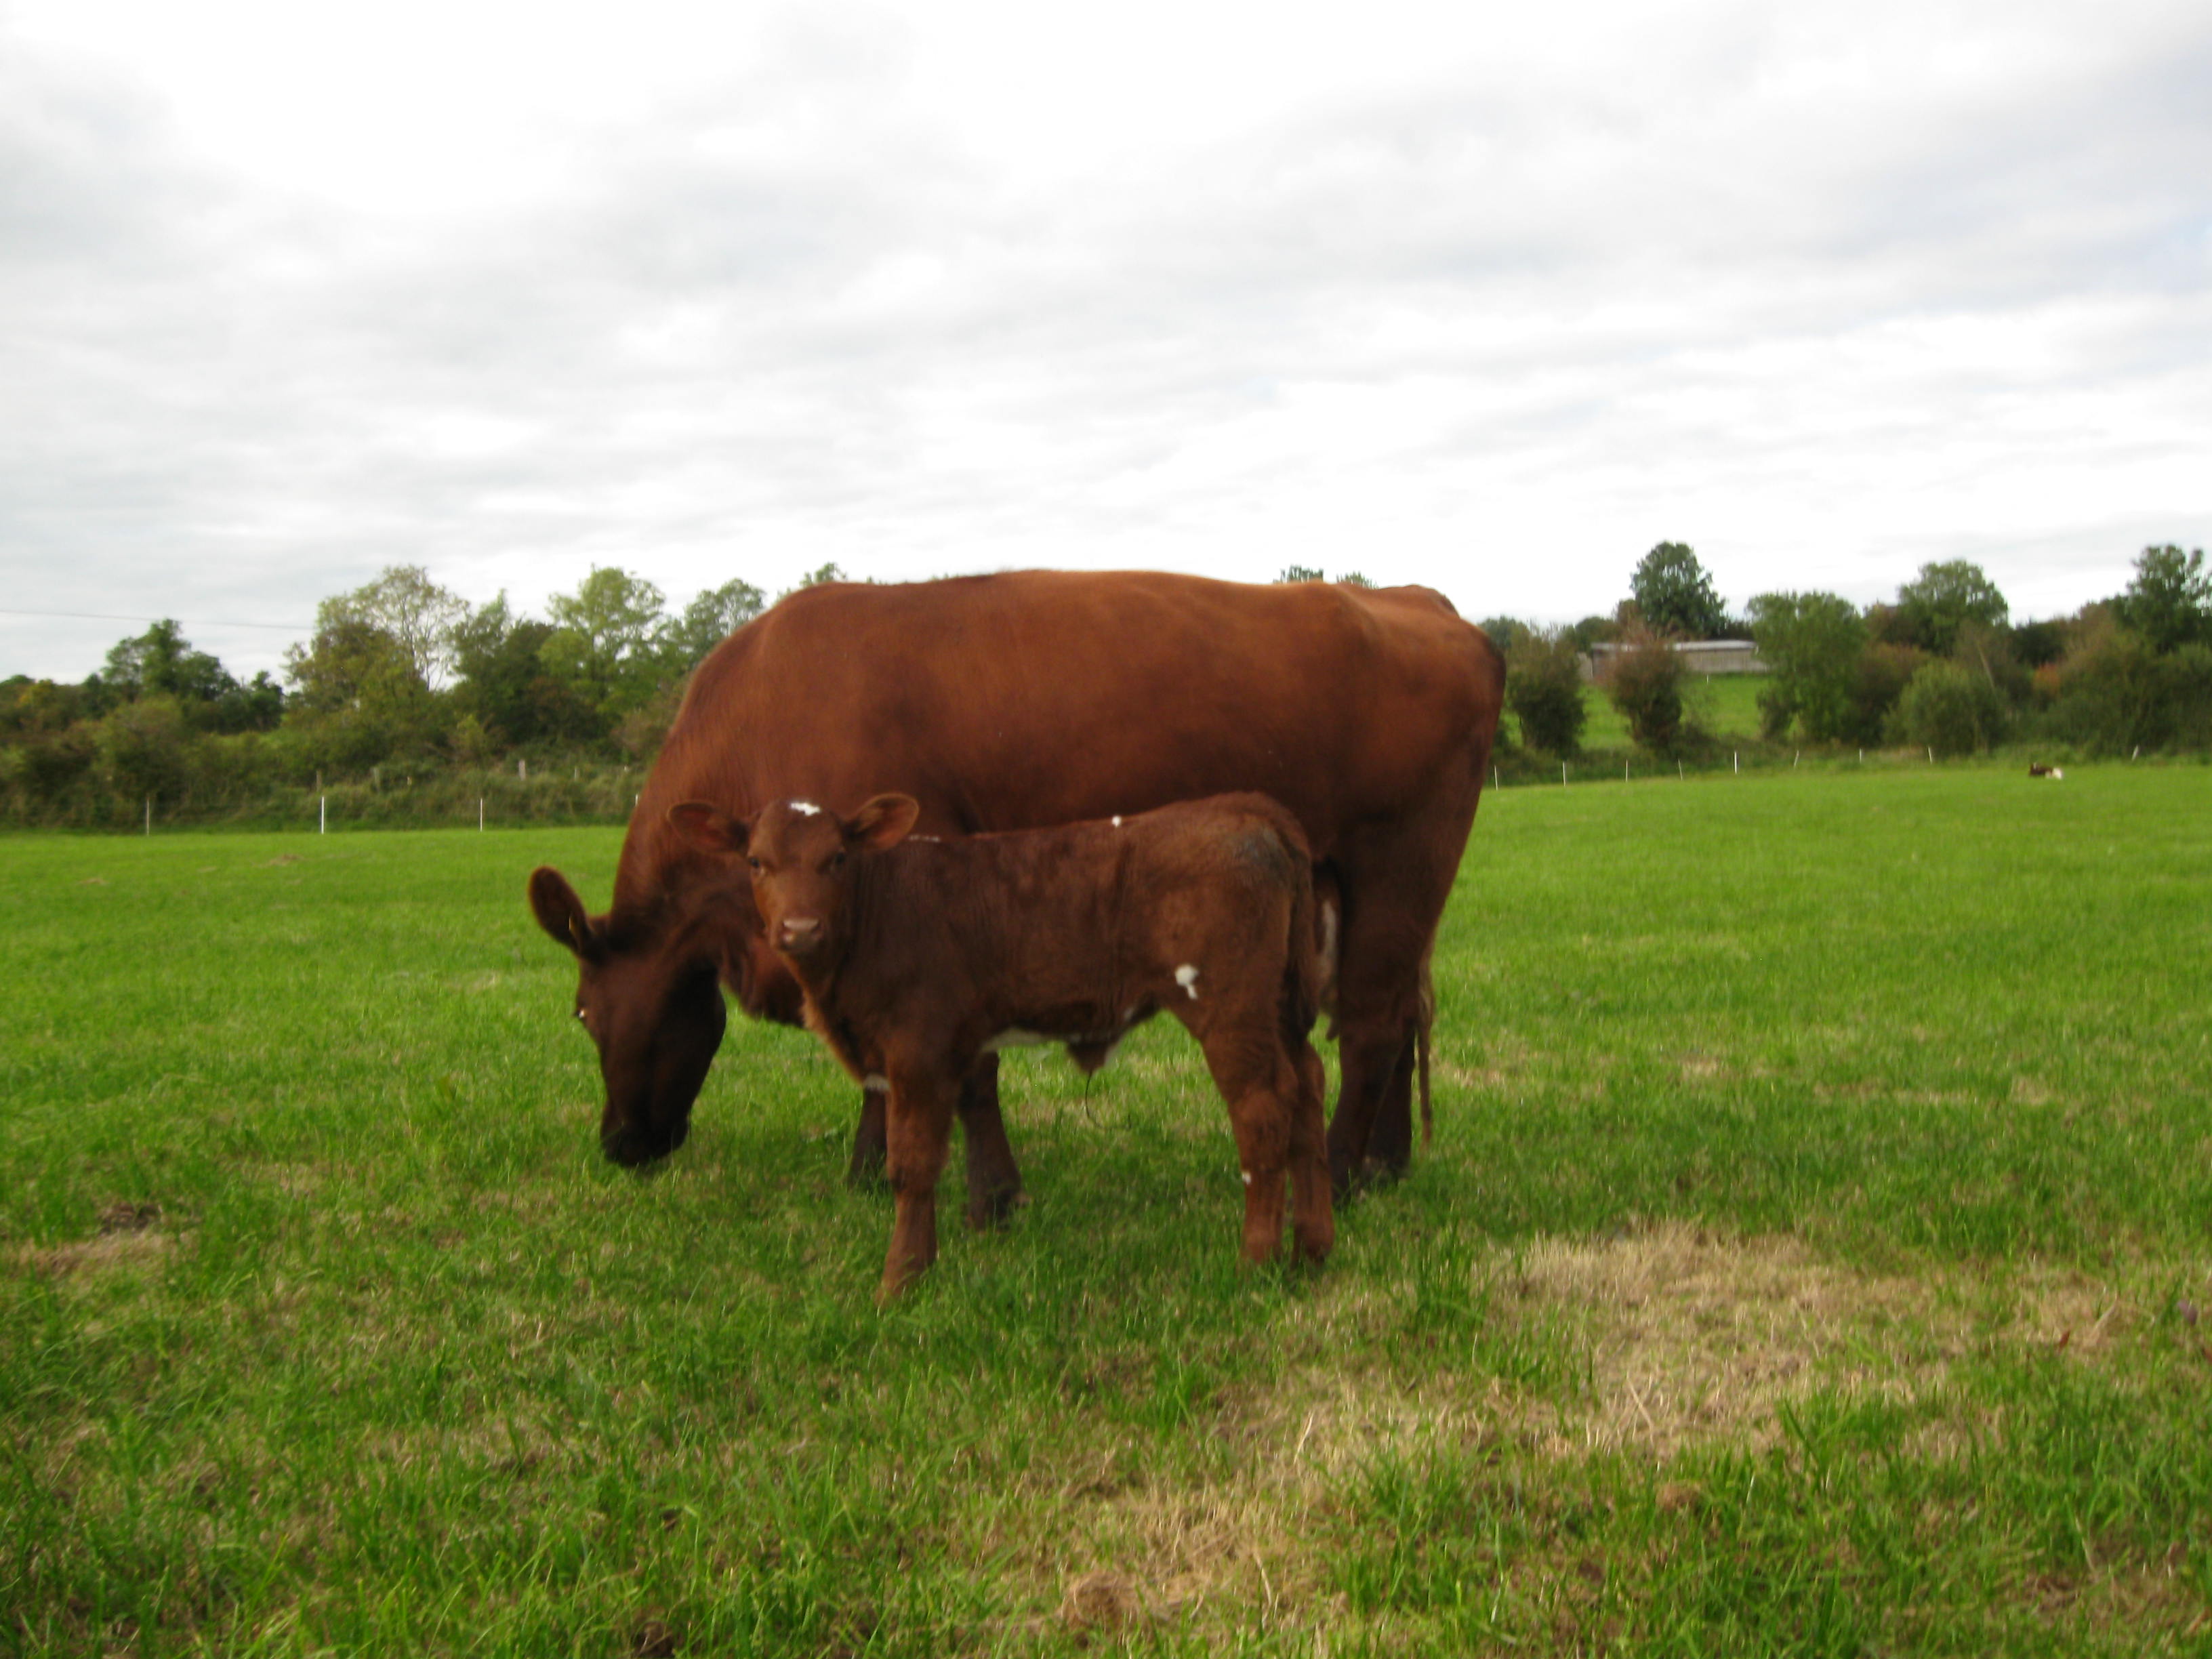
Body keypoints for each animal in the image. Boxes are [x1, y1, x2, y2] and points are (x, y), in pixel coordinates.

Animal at [527, 569, 1504, 1210]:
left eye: (583, 1014)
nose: (620, 1145)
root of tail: (1420, 600)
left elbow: (965, 1066)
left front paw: (986, 1194)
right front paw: (872, 1170)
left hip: (1400, 858)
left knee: (1373, 1021)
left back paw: (1340, 1175)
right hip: (1349, 889)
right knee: (1393, 1014)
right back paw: (1385, 1163)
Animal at [664, 791, 1333, 1299]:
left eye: (837, 858)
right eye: (756, 861)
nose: (799, 929)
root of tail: (1243, 808)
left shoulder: (917, 1050)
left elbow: (912, 1166)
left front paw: (900, 1283)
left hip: (1229, 1005)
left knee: (1263, 1111)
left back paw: (1256, 1264)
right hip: (1282, 1004)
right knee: (1308, 1088)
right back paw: (1312, 1249)